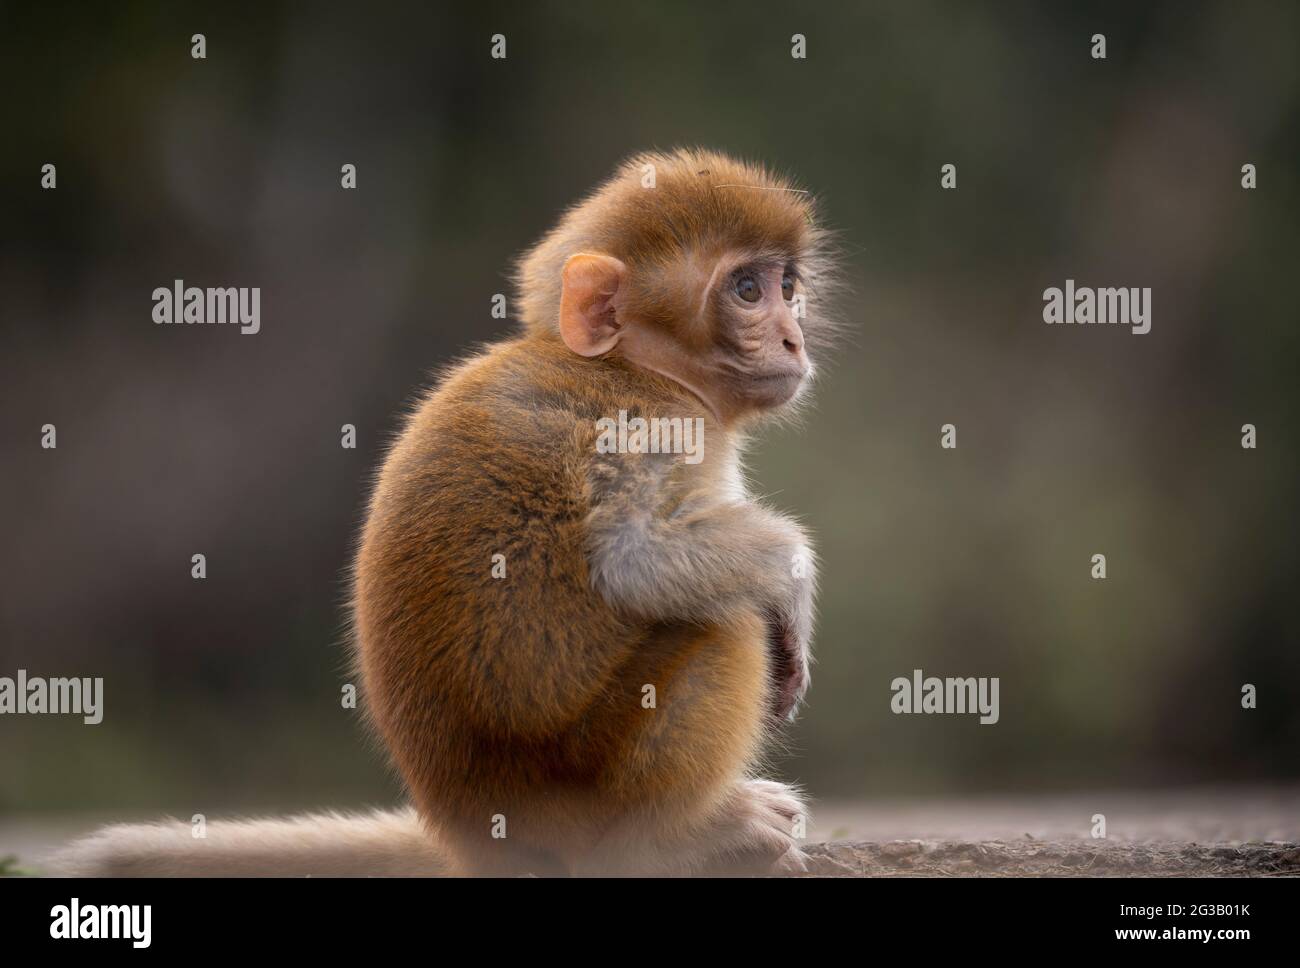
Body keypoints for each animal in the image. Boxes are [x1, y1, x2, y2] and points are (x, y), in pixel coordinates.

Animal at [52, 148, 838, 877]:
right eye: (746, 289)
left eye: (787, 286)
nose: (793, 338)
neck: (627, 364)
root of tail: (469, 835)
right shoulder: (648, 426)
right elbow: (630, 558)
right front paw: (789, 568)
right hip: (584, 787)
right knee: (727, 622)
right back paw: (671, 840)